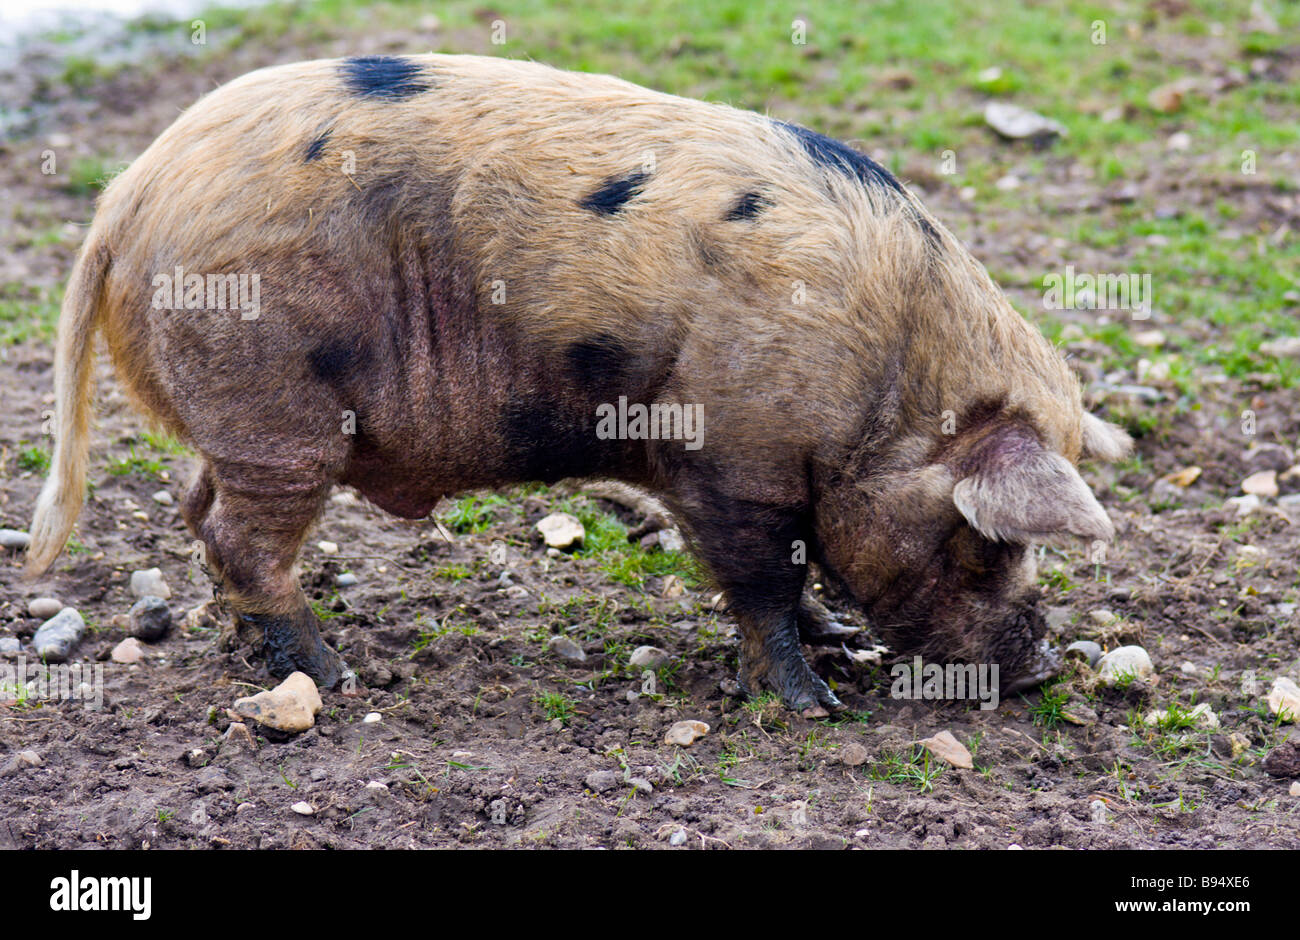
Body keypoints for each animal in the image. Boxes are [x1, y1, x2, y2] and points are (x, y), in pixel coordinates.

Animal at [27, 54, 1130, 715]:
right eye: (983, 539)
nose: (1040, 668)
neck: (889, 384)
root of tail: (126, 197)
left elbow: (803, 567)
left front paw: (835, 644)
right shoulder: (728, 462)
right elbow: (763, 579)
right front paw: (810, 702)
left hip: (242, 415)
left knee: (194, 504)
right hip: (276, 408)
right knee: (235, 534)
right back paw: (332, 674)